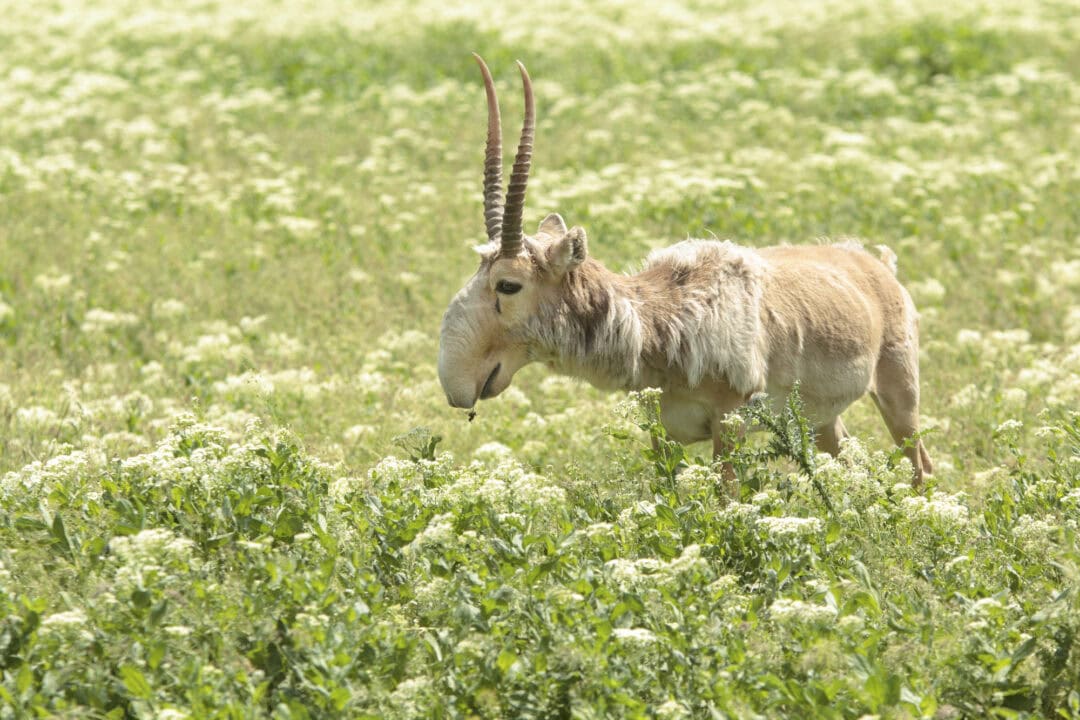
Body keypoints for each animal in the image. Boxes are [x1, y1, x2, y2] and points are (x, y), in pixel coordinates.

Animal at [438, 55, 932, 486]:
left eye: (508, 284)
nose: (457, 385)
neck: (662, 315)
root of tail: (875, 266)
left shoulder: (728, 425)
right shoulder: (661, 432)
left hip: (899, 394)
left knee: (920, 465)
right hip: (822, 420)